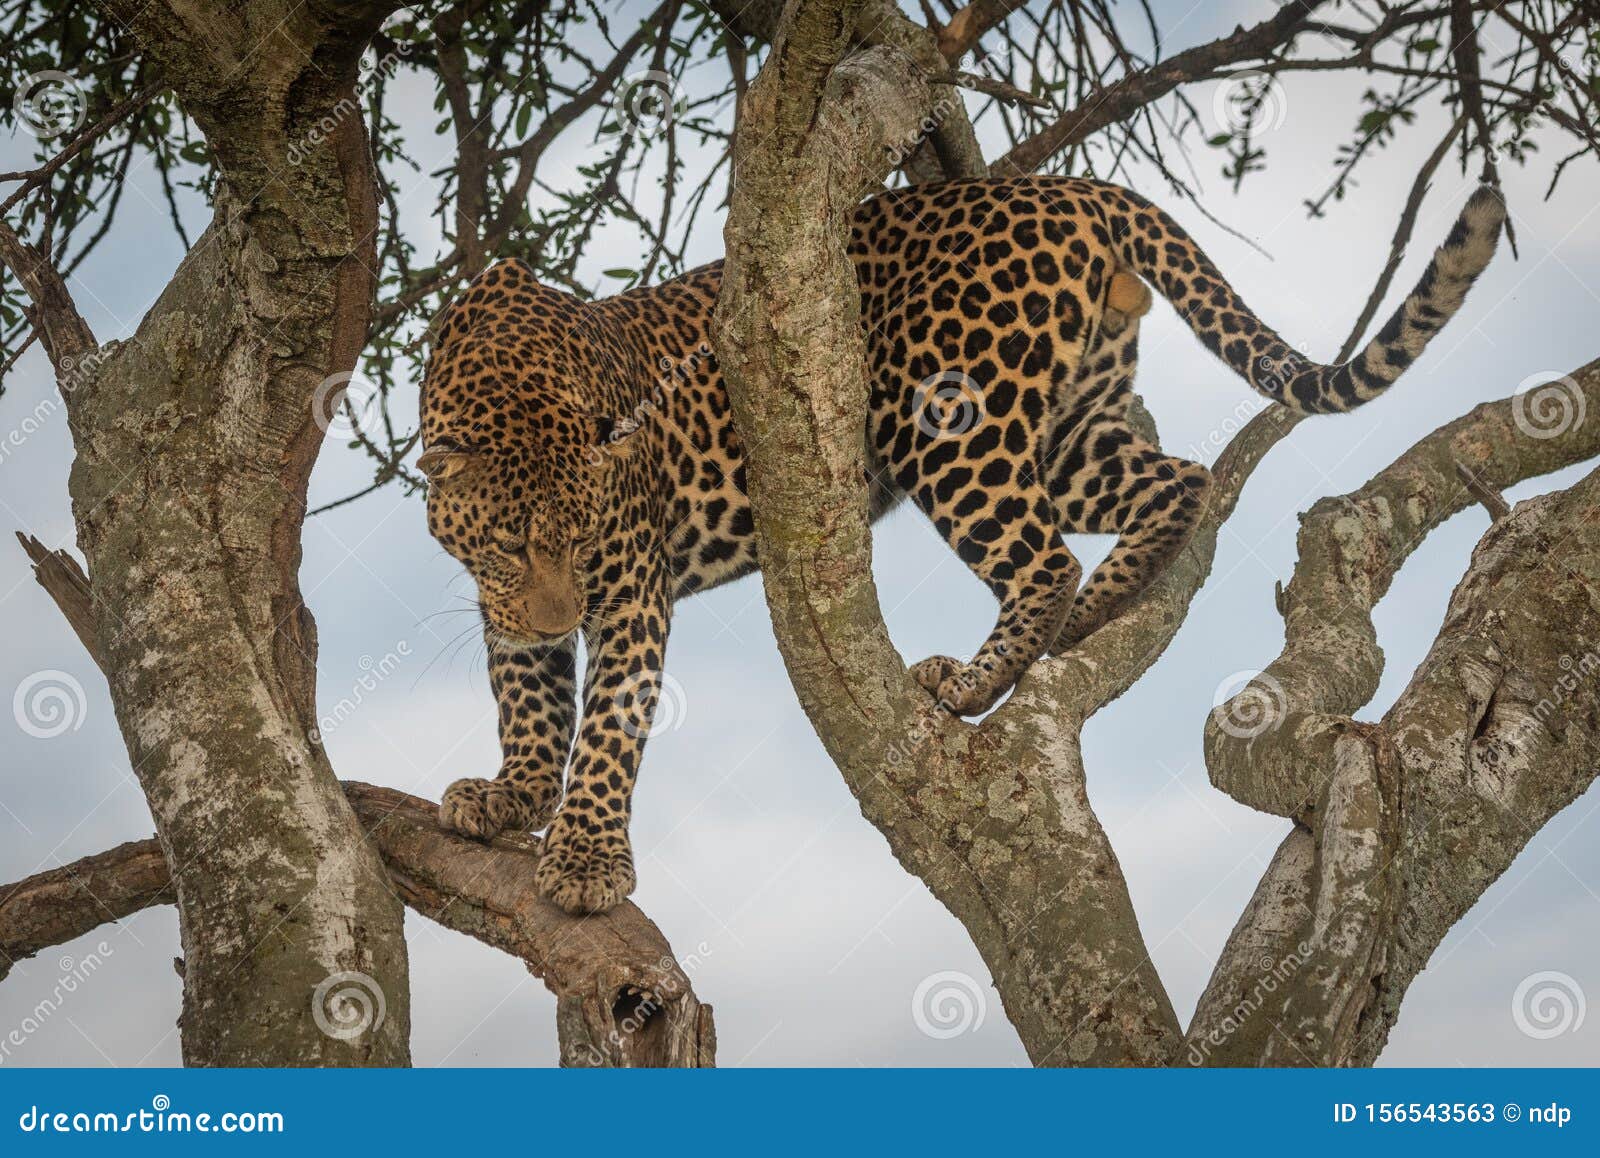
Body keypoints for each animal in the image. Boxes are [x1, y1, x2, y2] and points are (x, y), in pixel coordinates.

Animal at [419, 175, 1504, 914]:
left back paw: (978, 682)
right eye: (510, 546)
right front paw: (512, 796)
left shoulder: (632, 584)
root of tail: (1066, 183)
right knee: (1175, 482)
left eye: (586, 540)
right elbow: (529, 705)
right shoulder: (503, 607)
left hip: (946, 419)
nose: (564, 615)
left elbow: (607, 722)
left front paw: (586, 860)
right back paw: (1093, 616)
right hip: (1068, 426)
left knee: (1045, 557)